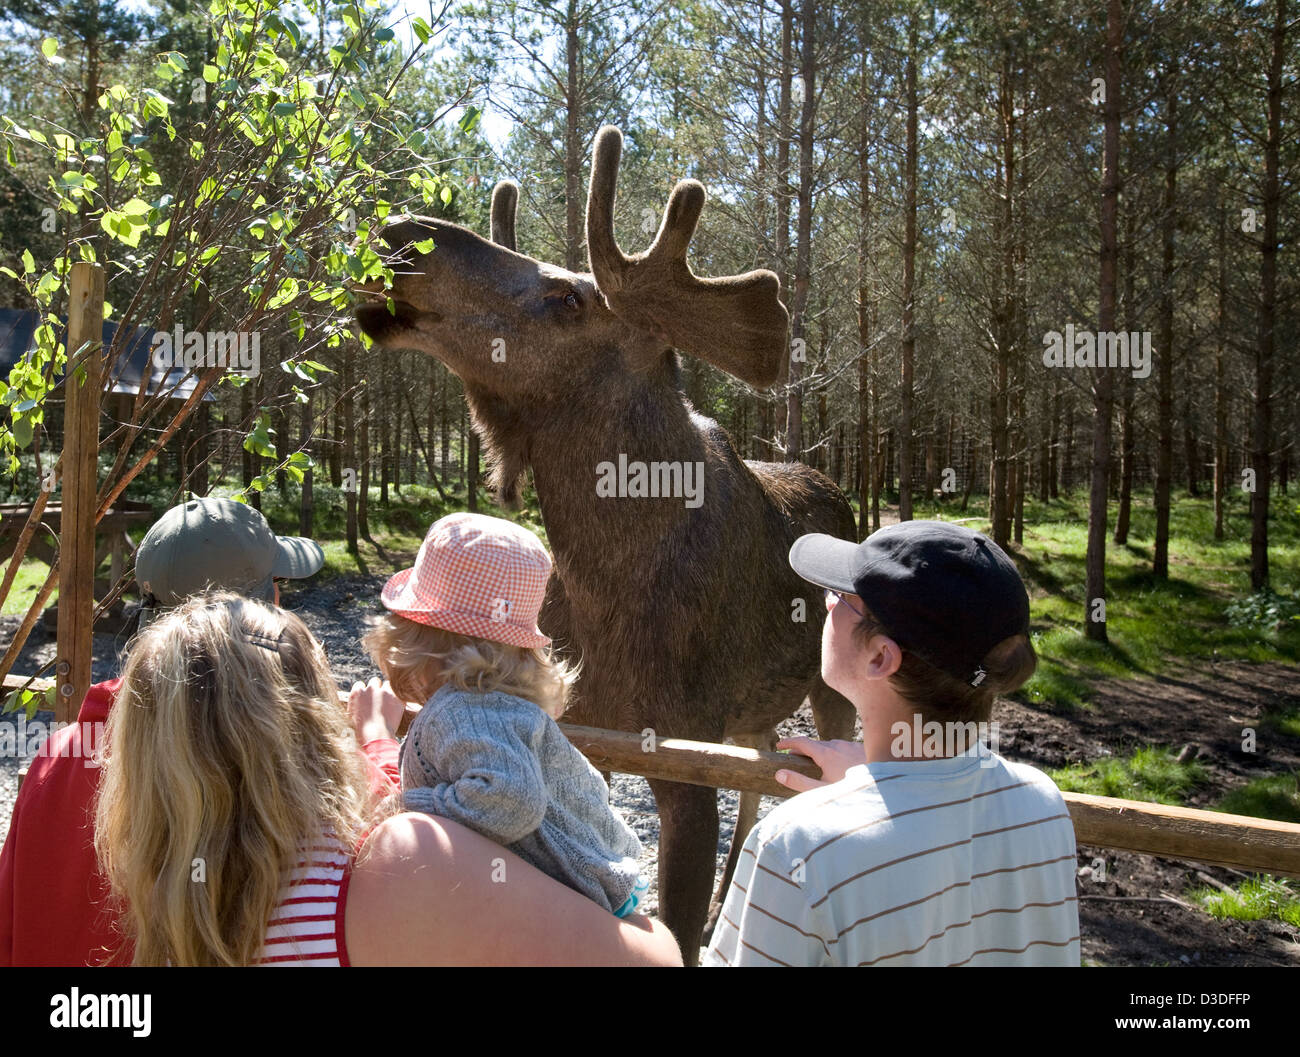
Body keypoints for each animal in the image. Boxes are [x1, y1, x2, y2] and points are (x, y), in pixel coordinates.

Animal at [354, 126, 857, 963]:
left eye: (569, 297)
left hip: (830, 691)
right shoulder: (590, 725)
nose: (398, 230)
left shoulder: (684, 753)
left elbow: (674, 919)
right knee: (762, 780)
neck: (607, 582)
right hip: (754, 715)